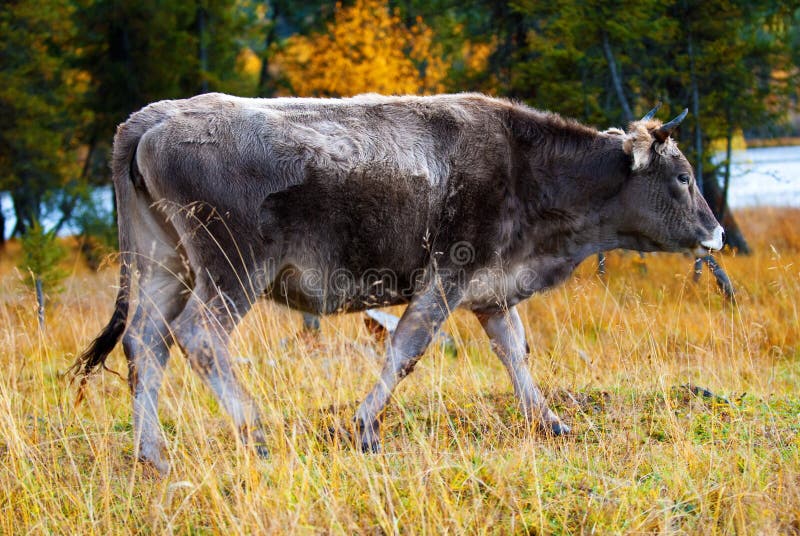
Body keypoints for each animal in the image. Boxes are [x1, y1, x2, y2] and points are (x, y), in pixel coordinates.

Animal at [72, 93, 724, 474]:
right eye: (684, 176)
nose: (716, 233)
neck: (525, 166)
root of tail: (148, 119)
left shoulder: (491, 290)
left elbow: (515, 352)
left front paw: (551, 422)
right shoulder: (449, 274)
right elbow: (407, 348)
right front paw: (364, 429)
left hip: (165, 266)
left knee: (145, 342)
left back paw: (152, 453)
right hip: (230, 271)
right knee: (198, 337)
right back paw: (254, 433)